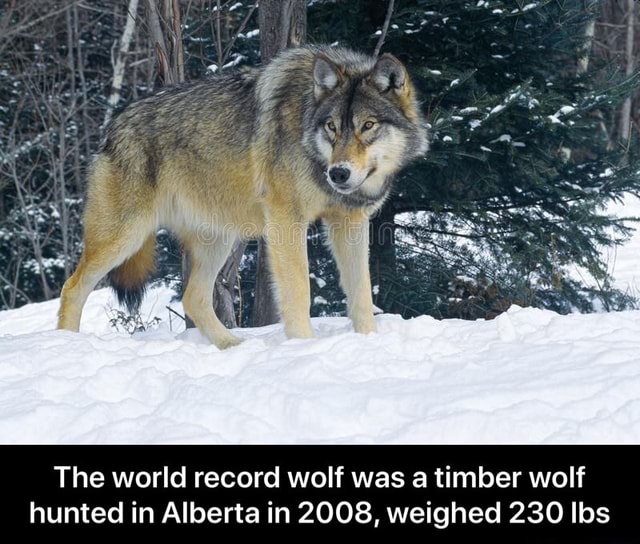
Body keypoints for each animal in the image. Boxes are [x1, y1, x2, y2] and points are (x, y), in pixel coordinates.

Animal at [57, 46, 428, 349]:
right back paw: (66, 345)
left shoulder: (349, 222)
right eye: (332, 127)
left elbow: (362, 294)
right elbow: (299, 292)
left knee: (193, 299)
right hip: (124, 237)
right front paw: (304, 347)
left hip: (218, 239)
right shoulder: (286, 220)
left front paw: (368, 343)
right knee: (72, 288)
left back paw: (232, 346)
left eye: (368, 125)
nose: (338, 173)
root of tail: (112, 126)